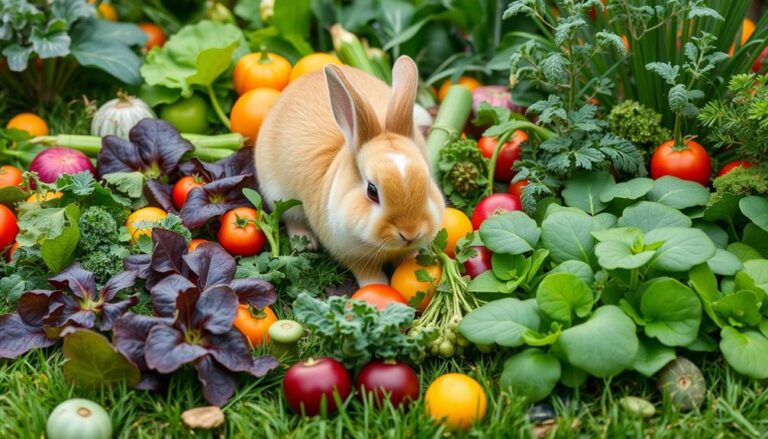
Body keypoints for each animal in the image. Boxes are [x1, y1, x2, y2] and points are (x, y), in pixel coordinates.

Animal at [255, 55, 445, 287]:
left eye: (427, 184)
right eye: (372, 191)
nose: (409, 233)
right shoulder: (348, 252)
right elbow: (366, 270)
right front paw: (376, 286)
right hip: (278, 191)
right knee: (290, 215)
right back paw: (306, 241)